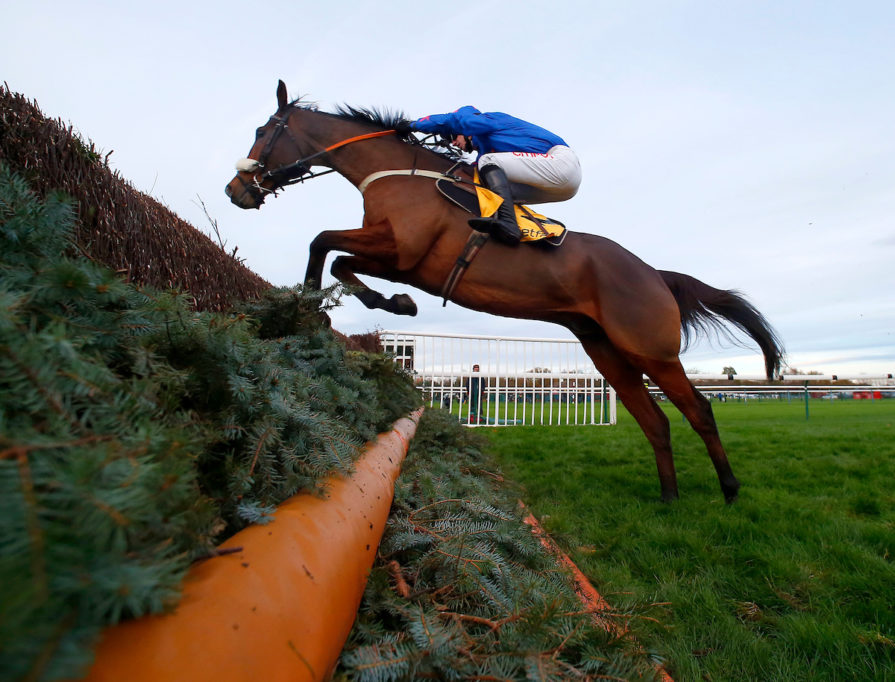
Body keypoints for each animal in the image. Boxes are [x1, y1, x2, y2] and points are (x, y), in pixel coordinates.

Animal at [225, 81, 784, 503]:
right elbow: (335, 255)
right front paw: (360, 304)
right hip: (608, 353)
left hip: (651, 350)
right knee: (656, 421)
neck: (397, 174)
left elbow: (323, 242)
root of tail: (654, 273)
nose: (237, 190)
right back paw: (668, 498)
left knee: (700, 411)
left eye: (261, 131)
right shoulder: (395, 259)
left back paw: (730, 488)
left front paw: (311, 305)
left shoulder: (401, 253)